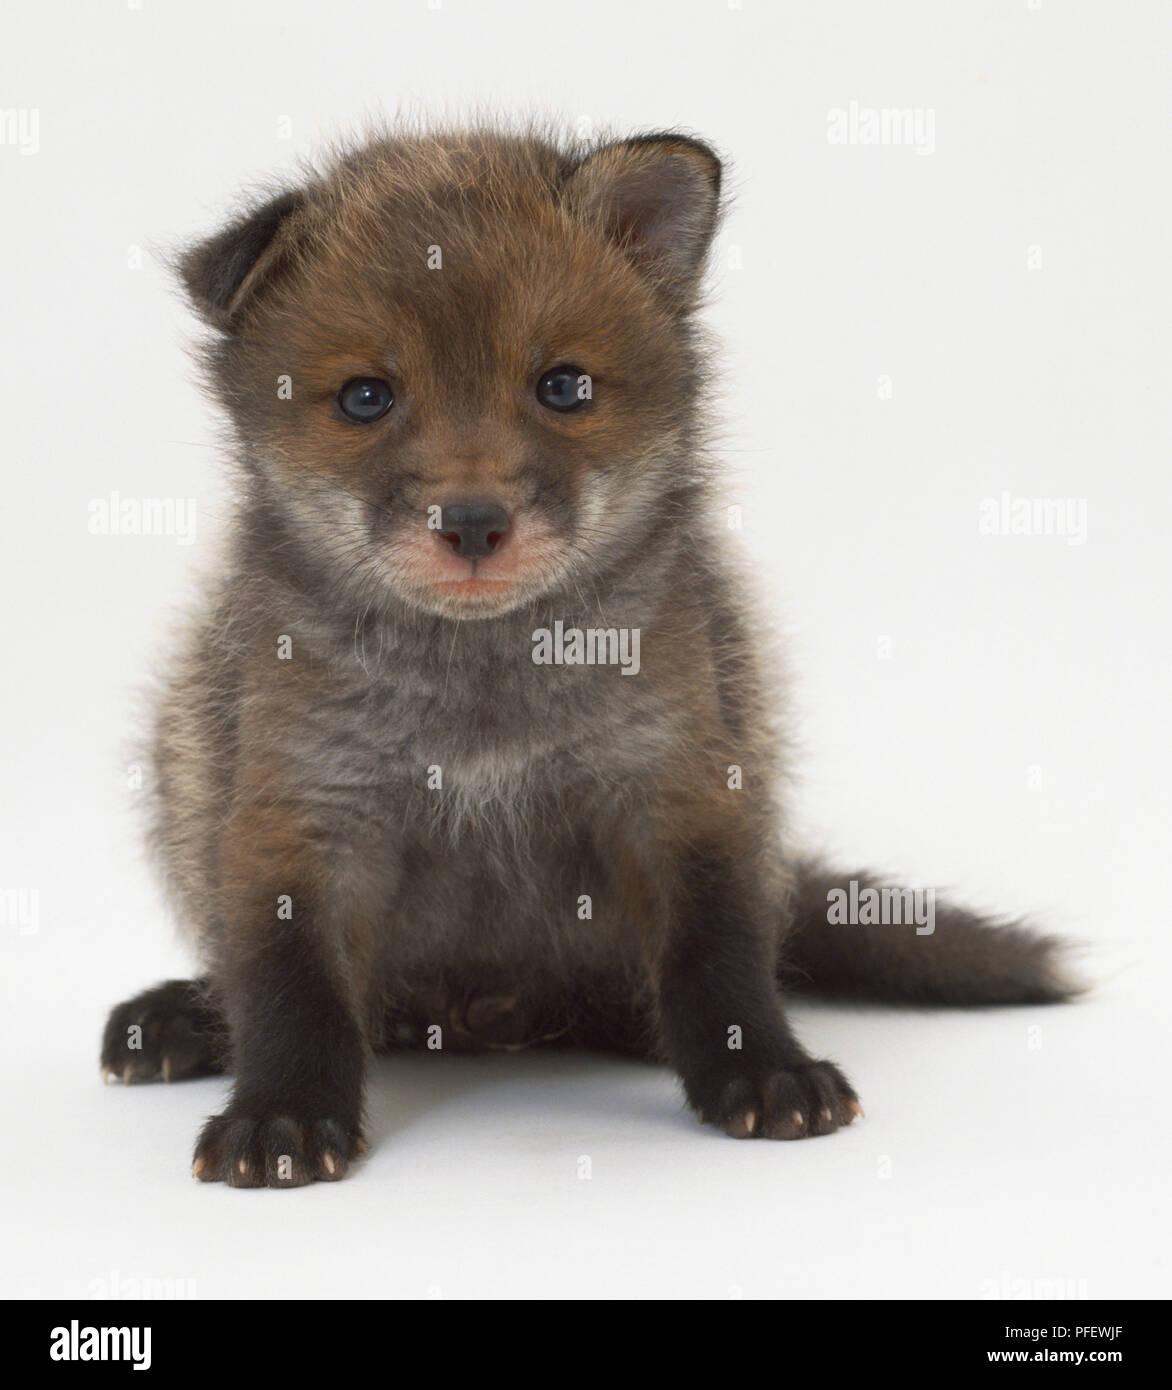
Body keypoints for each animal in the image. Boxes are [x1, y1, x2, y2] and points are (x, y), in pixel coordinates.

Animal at [101, 125, 1078, 1186]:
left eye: (564, 387)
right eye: (366, 397)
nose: (473, 522)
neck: (481, 695)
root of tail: (482, 1016)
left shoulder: (678, 786)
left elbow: (717, 966)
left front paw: (764, 1072)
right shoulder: (298, 814)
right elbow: (290, 994)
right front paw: (282, 1114)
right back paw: (180, 1020)